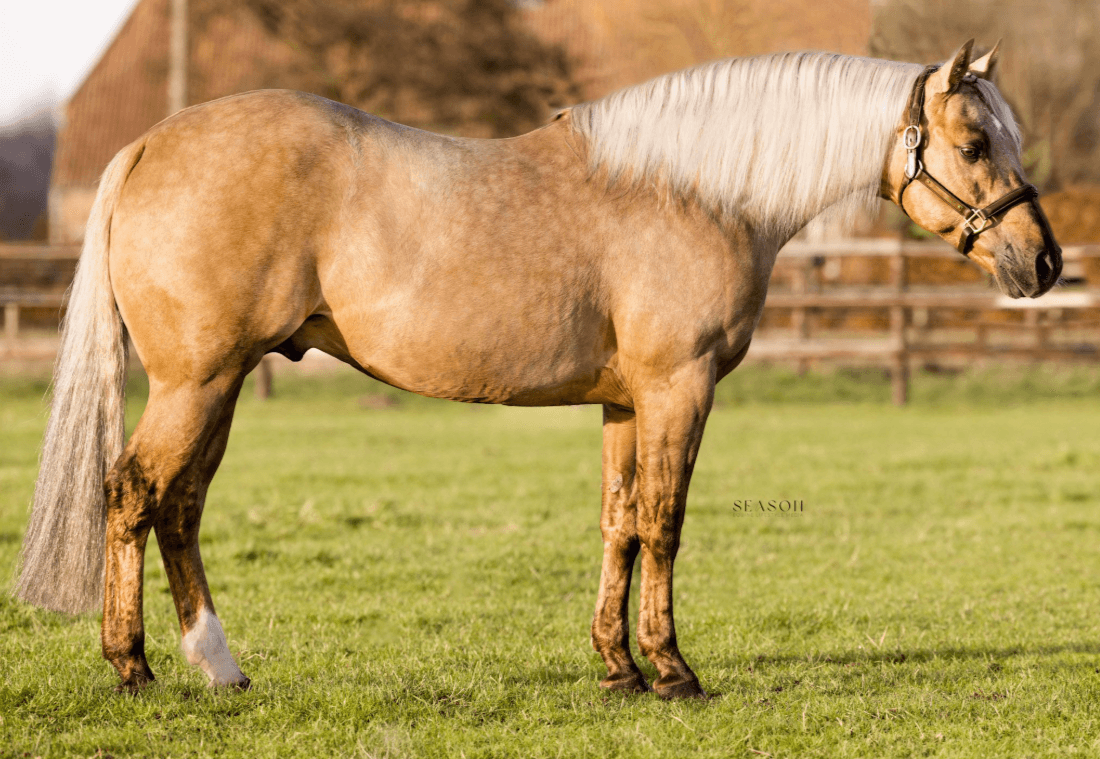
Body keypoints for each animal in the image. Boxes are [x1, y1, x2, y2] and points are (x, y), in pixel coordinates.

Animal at [16, 41, 1061, 699]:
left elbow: (619, 525)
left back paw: (218, 665)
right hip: (197, 382)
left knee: (180, 505)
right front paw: (673, 671)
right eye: (974, 143)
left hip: (218, 384)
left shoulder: (626, 403)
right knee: (133, 491)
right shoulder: (678, 387)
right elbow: (665, 523)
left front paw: (618, 669)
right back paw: (133, 665)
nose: (1044, 262)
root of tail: (149, 144)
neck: (692, 191)